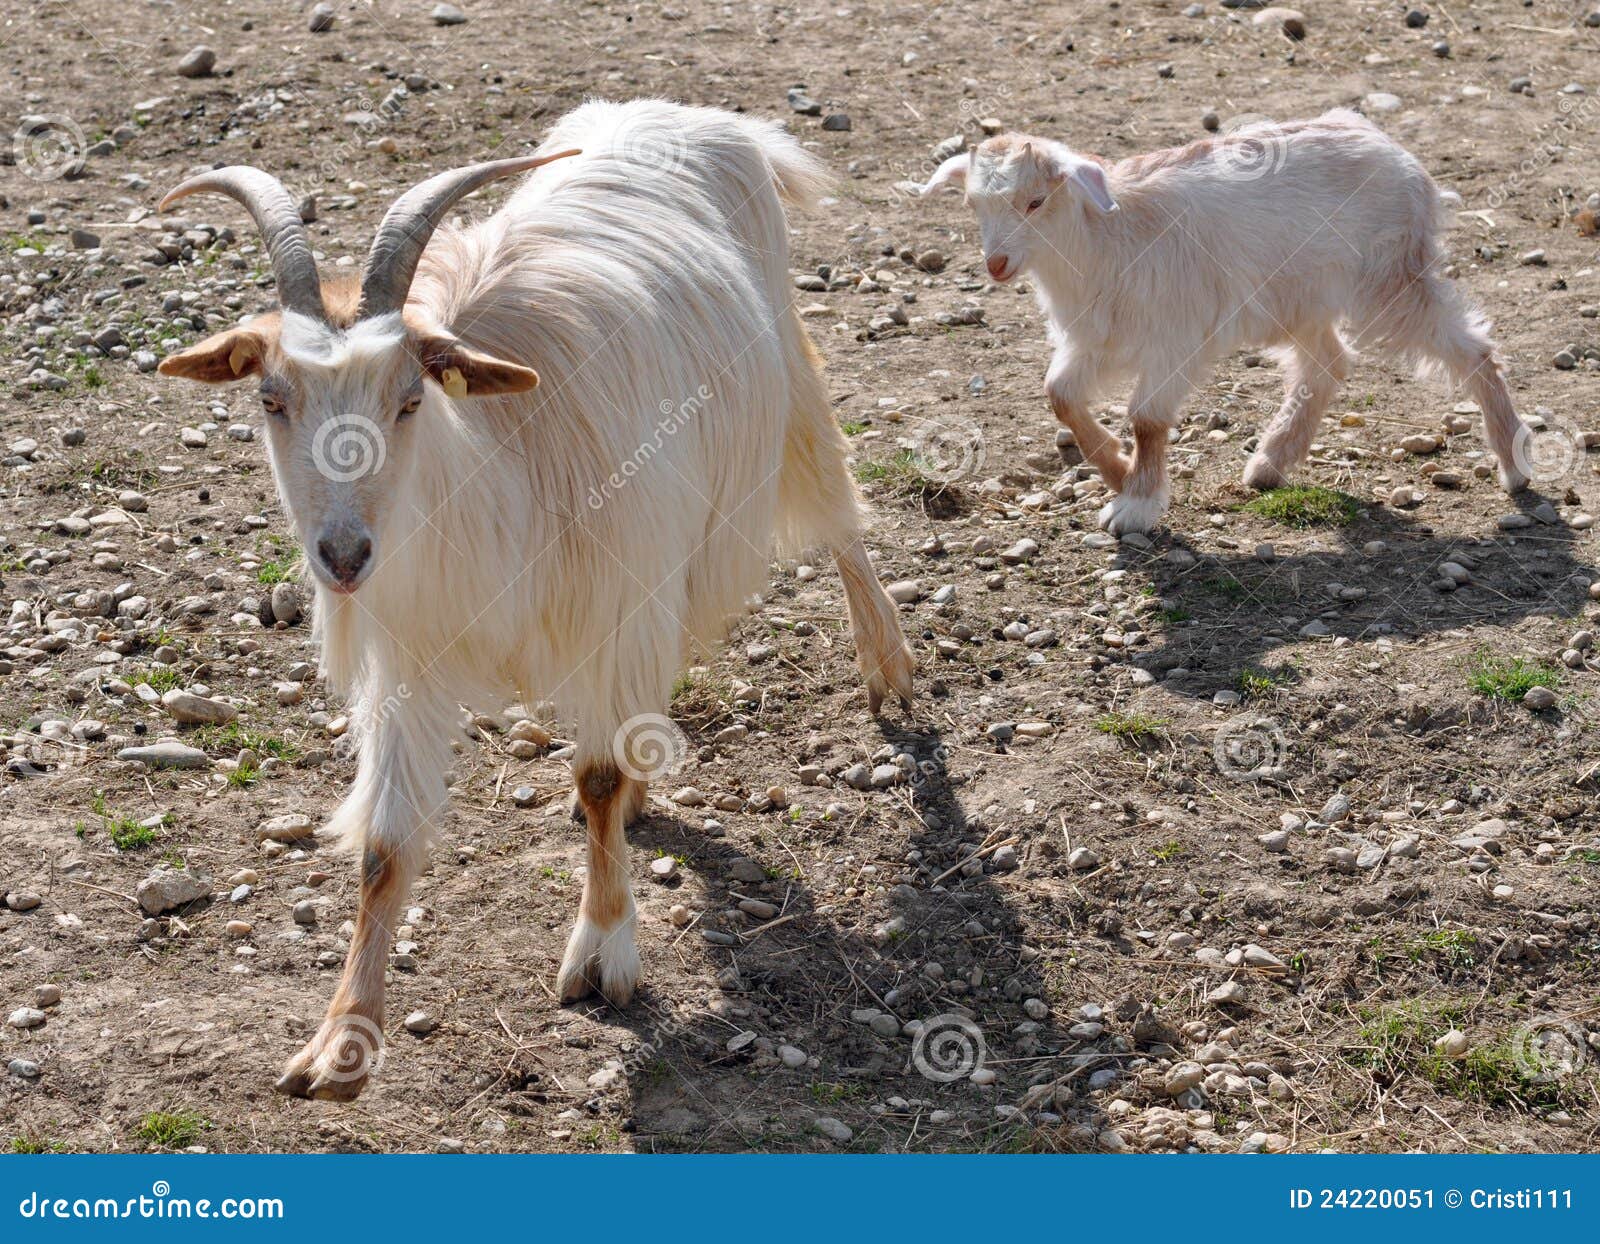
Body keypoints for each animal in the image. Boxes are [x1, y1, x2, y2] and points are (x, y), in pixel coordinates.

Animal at [156, 99, 915, 1100]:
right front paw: (342, 1041)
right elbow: (385, 845)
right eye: (272, 399)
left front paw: (605, 953)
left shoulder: (614, 602)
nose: (345, 555)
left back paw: (888, 667)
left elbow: (593, 776)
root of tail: (693, 115)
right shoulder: (412, 655)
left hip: (790, 385)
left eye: (409, 400)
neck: (495, 468)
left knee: (839, 517)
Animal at [922, 109, 1533, 535]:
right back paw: (1270, 462)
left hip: (1393, 279)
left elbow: (1147, 418)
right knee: (1327, 365)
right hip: (1298, 296)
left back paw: (1516, 464)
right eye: (974, 204)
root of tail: (1395, 150)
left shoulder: (1174, 338)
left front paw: (1136, 504)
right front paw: (1118, 470)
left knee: (1474, 349)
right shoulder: (1096, 339)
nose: (996, 264)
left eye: (1035, 201)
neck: (1106, 239)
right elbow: (1060, 395)